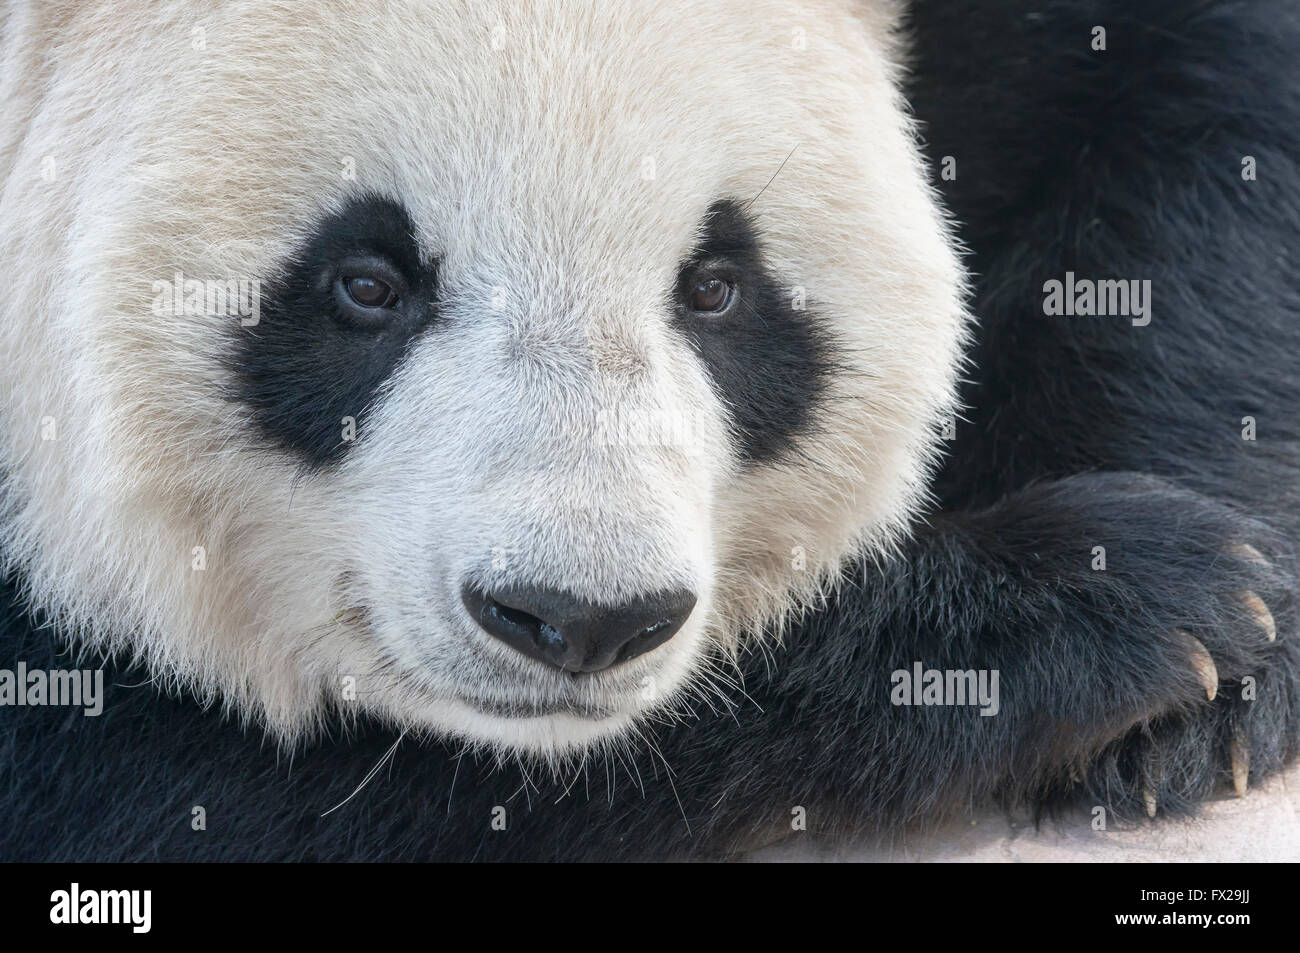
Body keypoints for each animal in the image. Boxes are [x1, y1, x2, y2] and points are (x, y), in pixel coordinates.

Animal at [1, 0, 1297, 862]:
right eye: (366, 283)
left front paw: (1215, 669)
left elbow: (1198, 118)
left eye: (716, 285)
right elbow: (132, 784)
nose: (582, 619)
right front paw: (1096, 605)